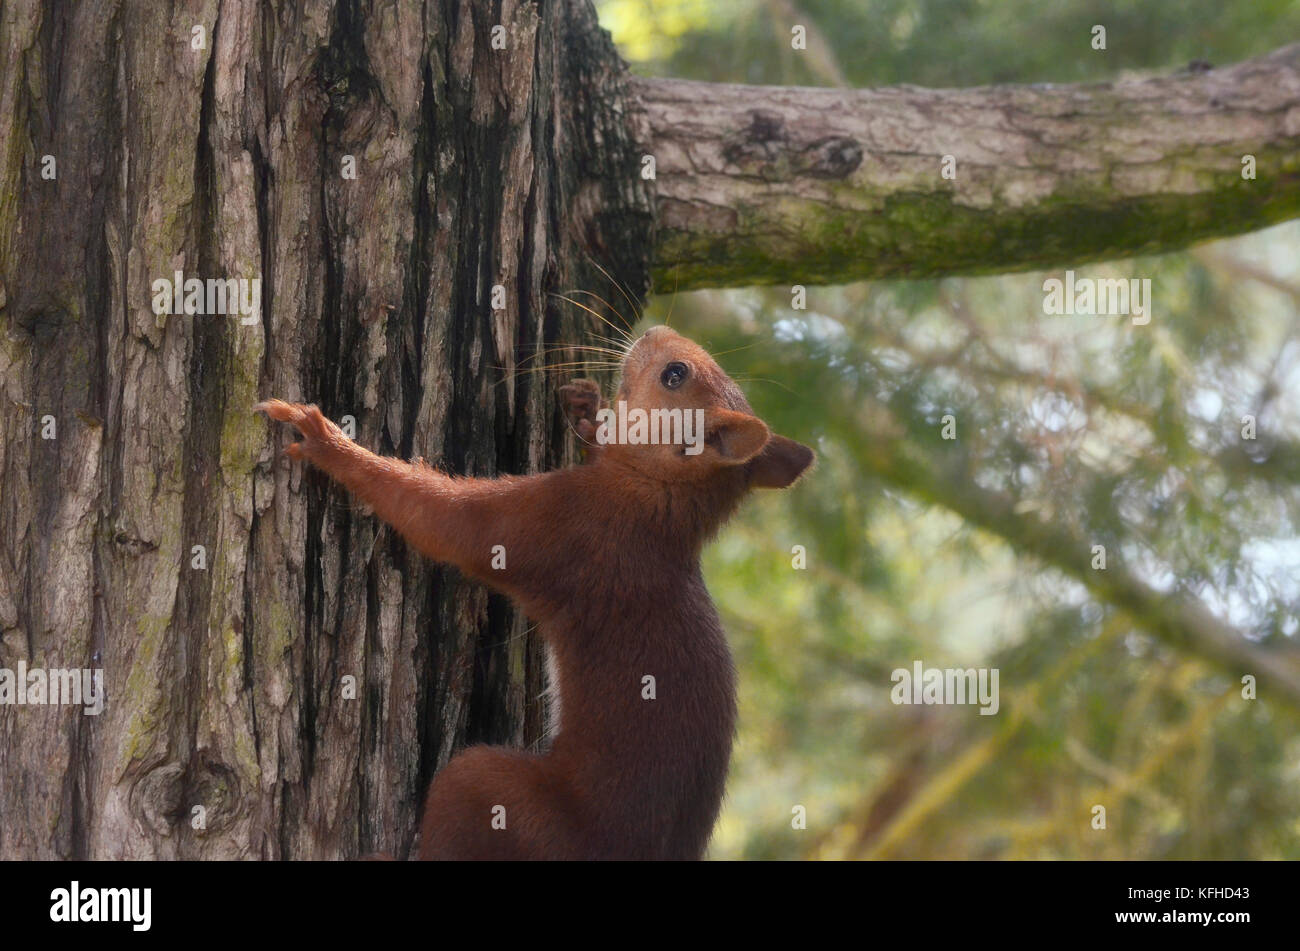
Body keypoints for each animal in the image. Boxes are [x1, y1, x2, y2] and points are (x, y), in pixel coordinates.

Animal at [257, 324, 814, 859]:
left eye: (674, 374)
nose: (653, 329)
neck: (658, 498)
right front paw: (588, 411)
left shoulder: (562, 527)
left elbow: (446, 521)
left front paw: (327, 442)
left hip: (503, 799)